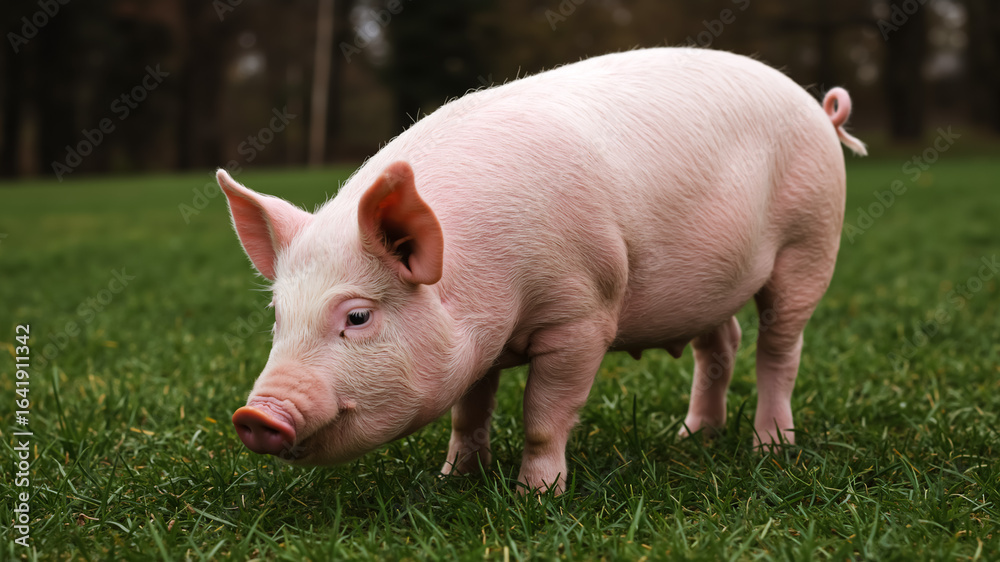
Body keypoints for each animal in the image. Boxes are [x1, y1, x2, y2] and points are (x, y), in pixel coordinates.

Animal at [220, 47, 865, 494]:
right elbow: (469, 412)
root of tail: (817, 109)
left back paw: (768, 450)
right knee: (722, 343)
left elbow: (543, 415)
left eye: (357, 317)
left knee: (780, 349)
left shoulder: (583, 316)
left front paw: (537, 496)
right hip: (713, 284)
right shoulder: (478, 342)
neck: (486, 290)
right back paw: (691, 437)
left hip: (811, 240)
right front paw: (455, 479)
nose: (255, 414)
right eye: (277, 316)